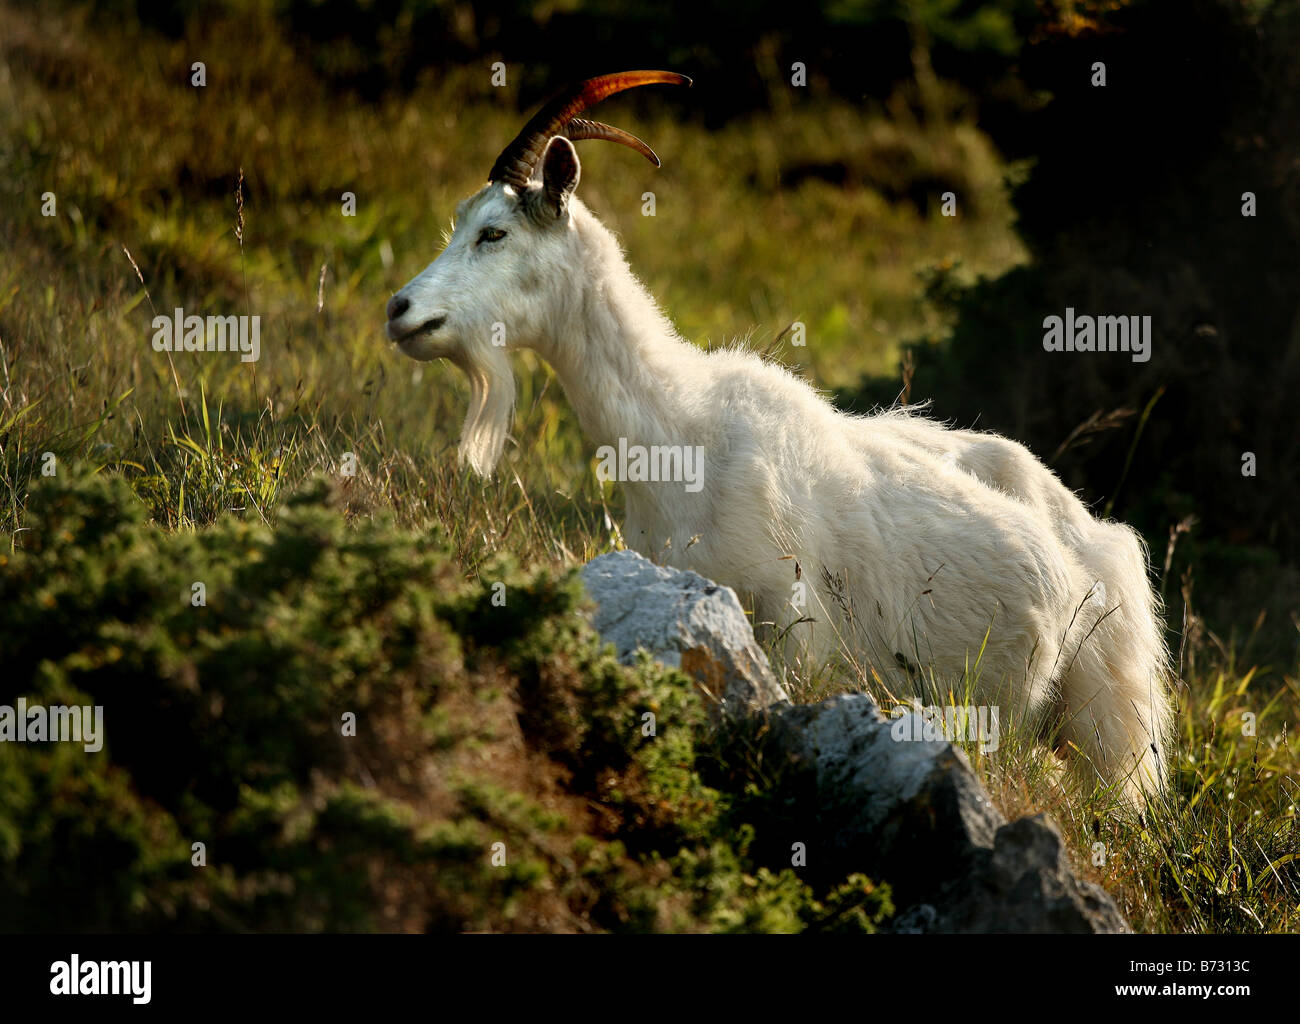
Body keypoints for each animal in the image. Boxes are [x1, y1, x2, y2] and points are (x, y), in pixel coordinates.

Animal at [384, 72, 1174, 807]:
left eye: (495, 232)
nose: (400, 311)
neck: (678, 432)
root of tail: (1094, 533)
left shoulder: (794, 627)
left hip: (1105, 719)